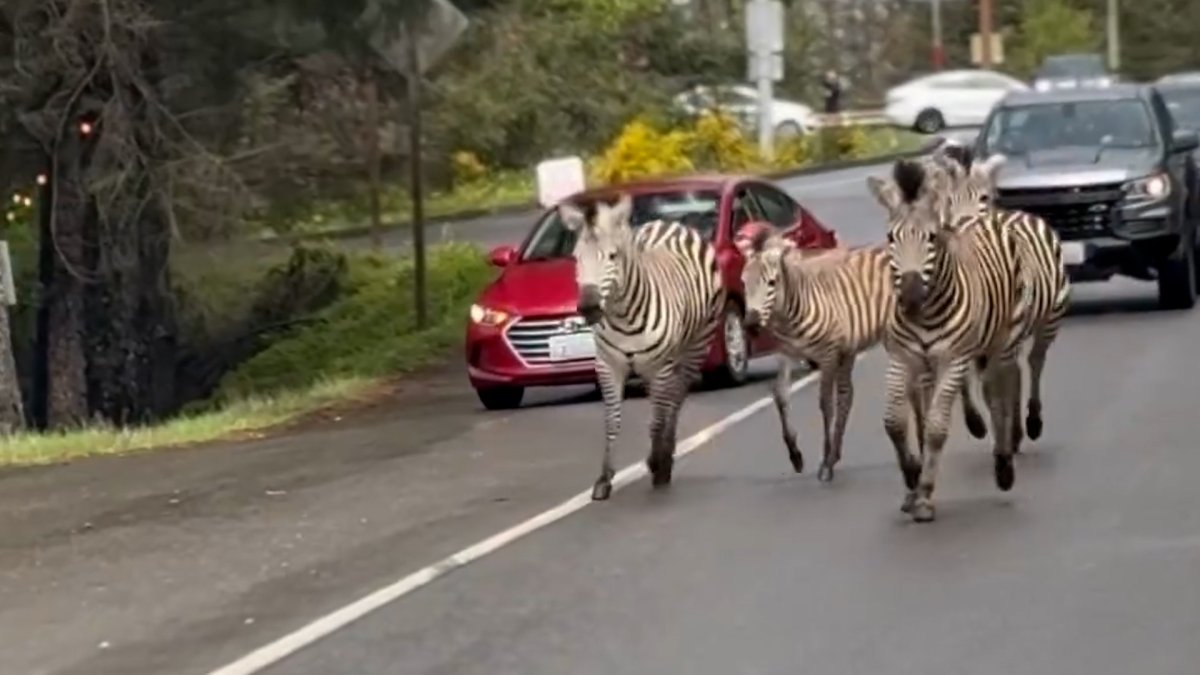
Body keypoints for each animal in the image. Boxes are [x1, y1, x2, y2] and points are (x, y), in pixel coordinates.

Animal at [559, 194, 725, 501]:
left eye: (612, 256)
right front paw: (605, 478)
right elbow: (612, 421)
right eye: (577, 257)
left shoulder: (661, 367)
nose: (588, 307)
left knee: (675, 401)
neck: (623, 315)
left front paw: (658, 465)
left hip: (695, 347)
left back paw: (665, 456)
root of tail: (670, 223)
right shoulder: (608, 365)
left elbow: (659, 418)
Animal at [735, 224, 892, 483]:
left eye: (771, 283)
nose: (751, 325)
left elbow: (825, 403)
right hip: (850, 348)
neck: (788, 316)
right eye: (743, 282)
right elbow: (780, 395)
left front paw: (825, 463)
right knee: (847, 394)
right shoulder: (786, 352)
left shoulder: (827, 355)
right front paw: (796, 455)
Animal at [866, 155, 1026, 522]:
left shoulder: (954, 360)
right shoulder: (902, 359)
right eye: (890, 237)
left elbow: (937, 427)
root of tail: (977, 219)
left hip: (1001, 343)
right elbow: (895, 422)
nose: (910, 298)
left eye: (931, 237)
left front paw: (924, 495)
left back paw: (1004, 464)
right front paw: (912, 476)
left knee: (998, 393)